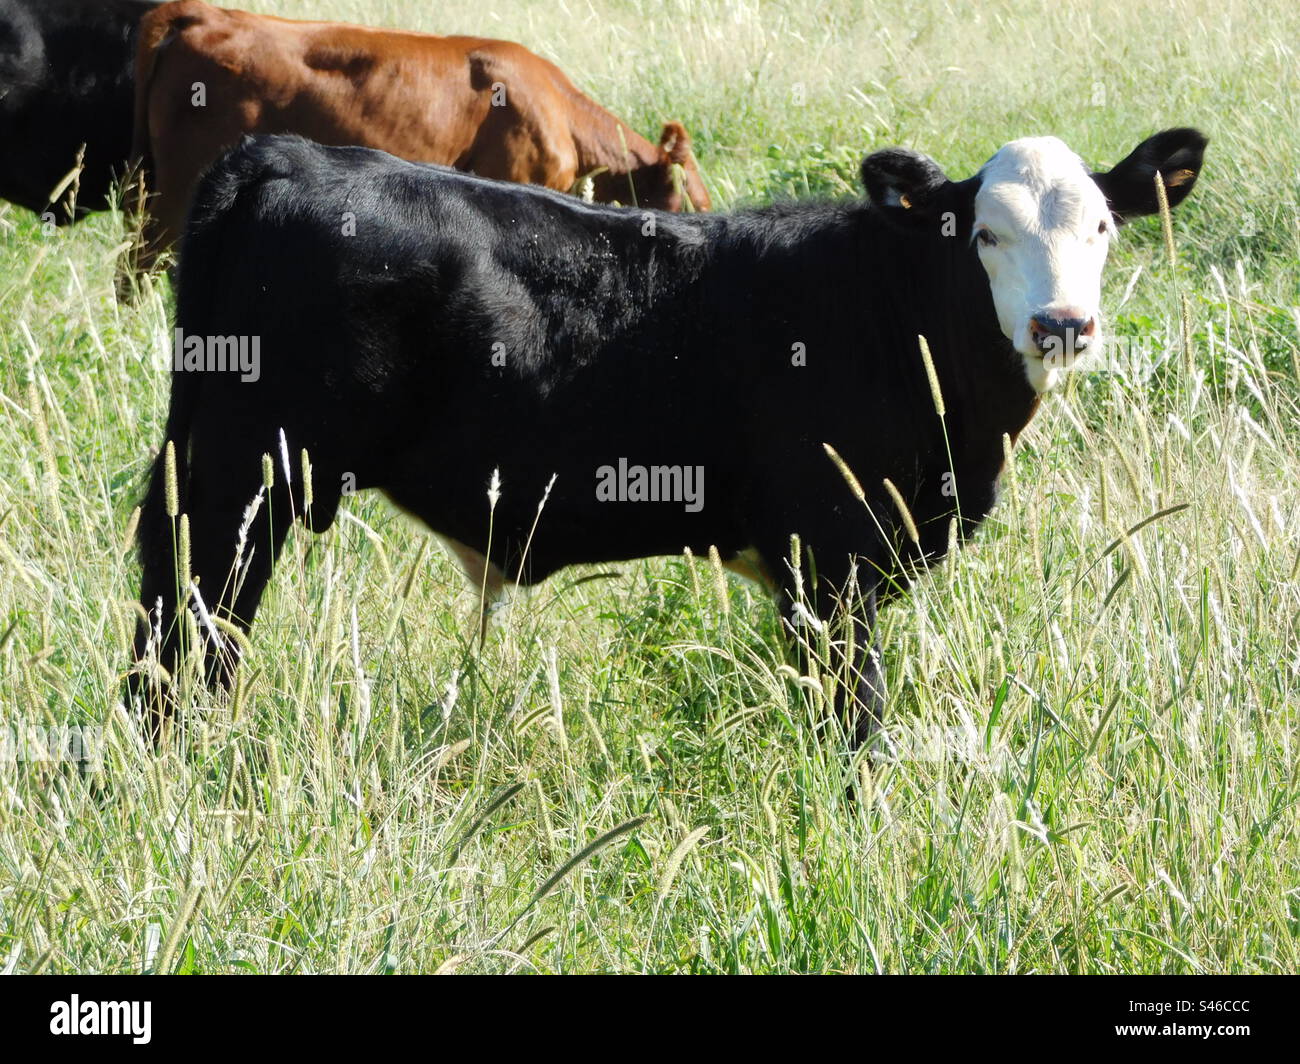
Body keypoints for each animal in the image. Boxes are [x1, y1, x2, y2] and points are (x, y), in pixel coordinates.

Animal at [128, 128, 1206, 745]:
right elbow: (854, 717)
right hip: (241, 480)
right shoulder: (833, 556)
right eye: (982, 232)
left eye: (1104, 227)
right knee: (192, 625)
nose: (1062, 324)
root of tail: (291, 155)